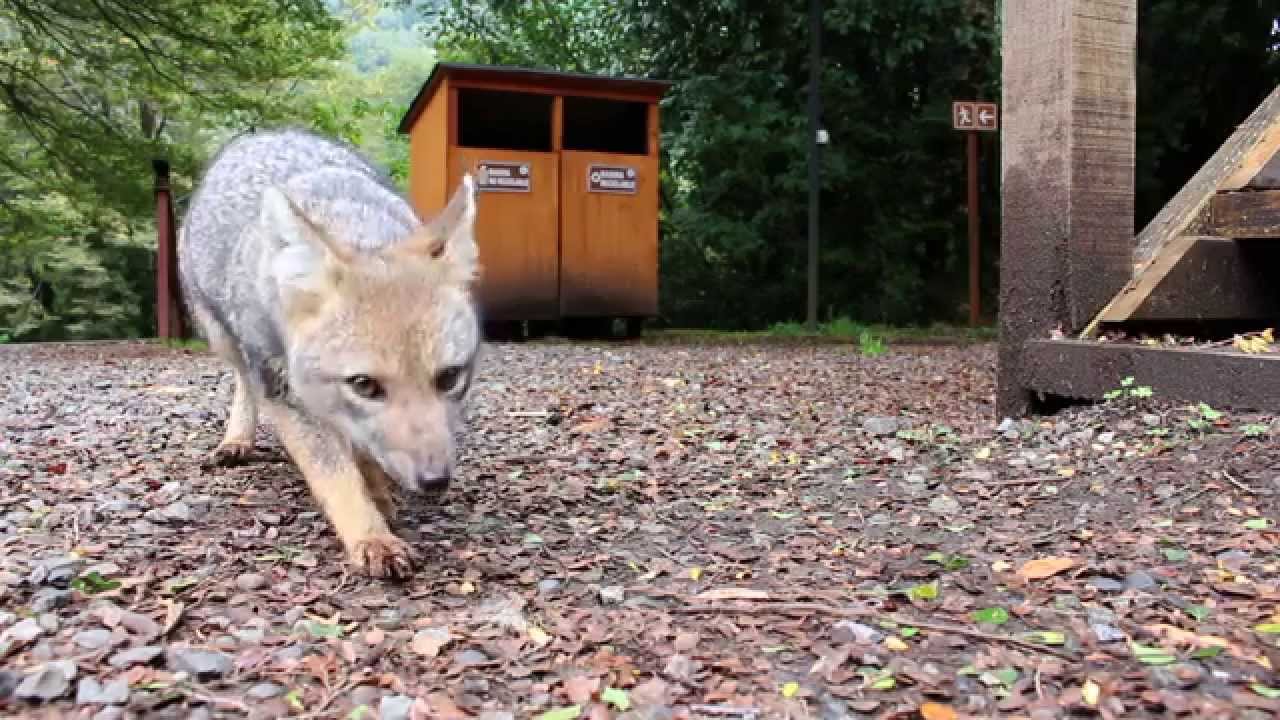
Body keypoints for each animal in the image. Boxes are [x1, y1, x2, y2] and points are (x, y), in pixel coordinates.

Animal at [176, 128, 482, 579]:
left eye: (448, 377)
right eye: (365, 385)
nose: (435, 481)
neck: (354, 225)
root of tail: (259, 135)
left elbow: (362, 445)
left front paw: (378, 493)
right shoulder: (284, 390)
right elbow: (336, 475)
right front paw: (372, 535)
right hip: (224, 338)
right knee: (242, 381)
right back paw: (238, 438)